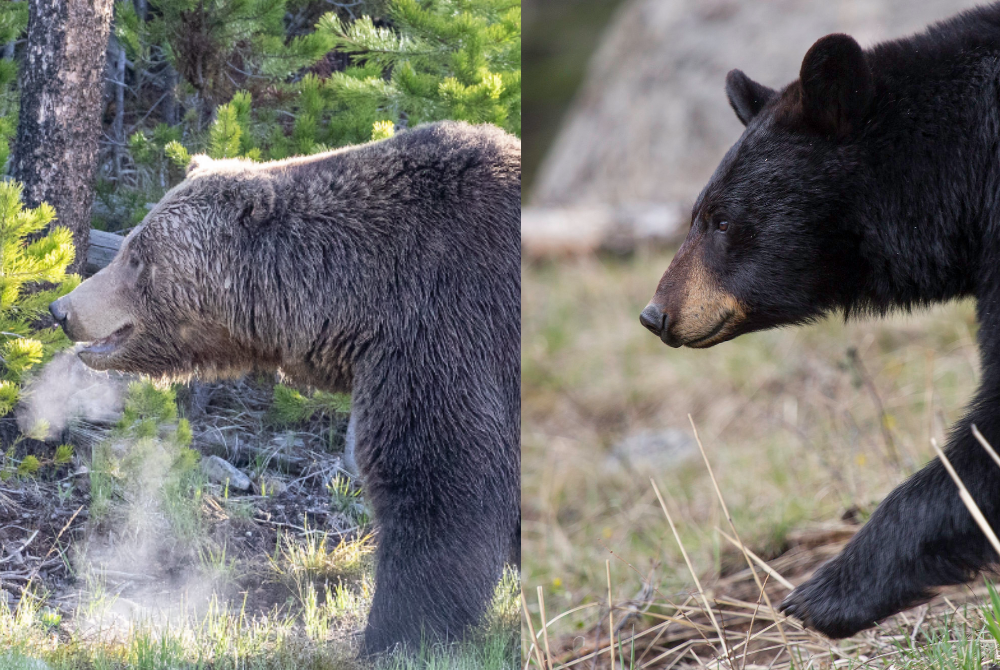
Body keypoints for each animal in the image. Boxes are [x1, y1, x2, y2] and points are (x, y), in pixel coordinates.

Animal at [47, 121, 521, 654]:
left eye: (137, 255)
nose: (62, 309)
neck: (355, 297)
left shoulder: (447, 327)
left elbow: (439, 486)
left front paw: (394, 635)